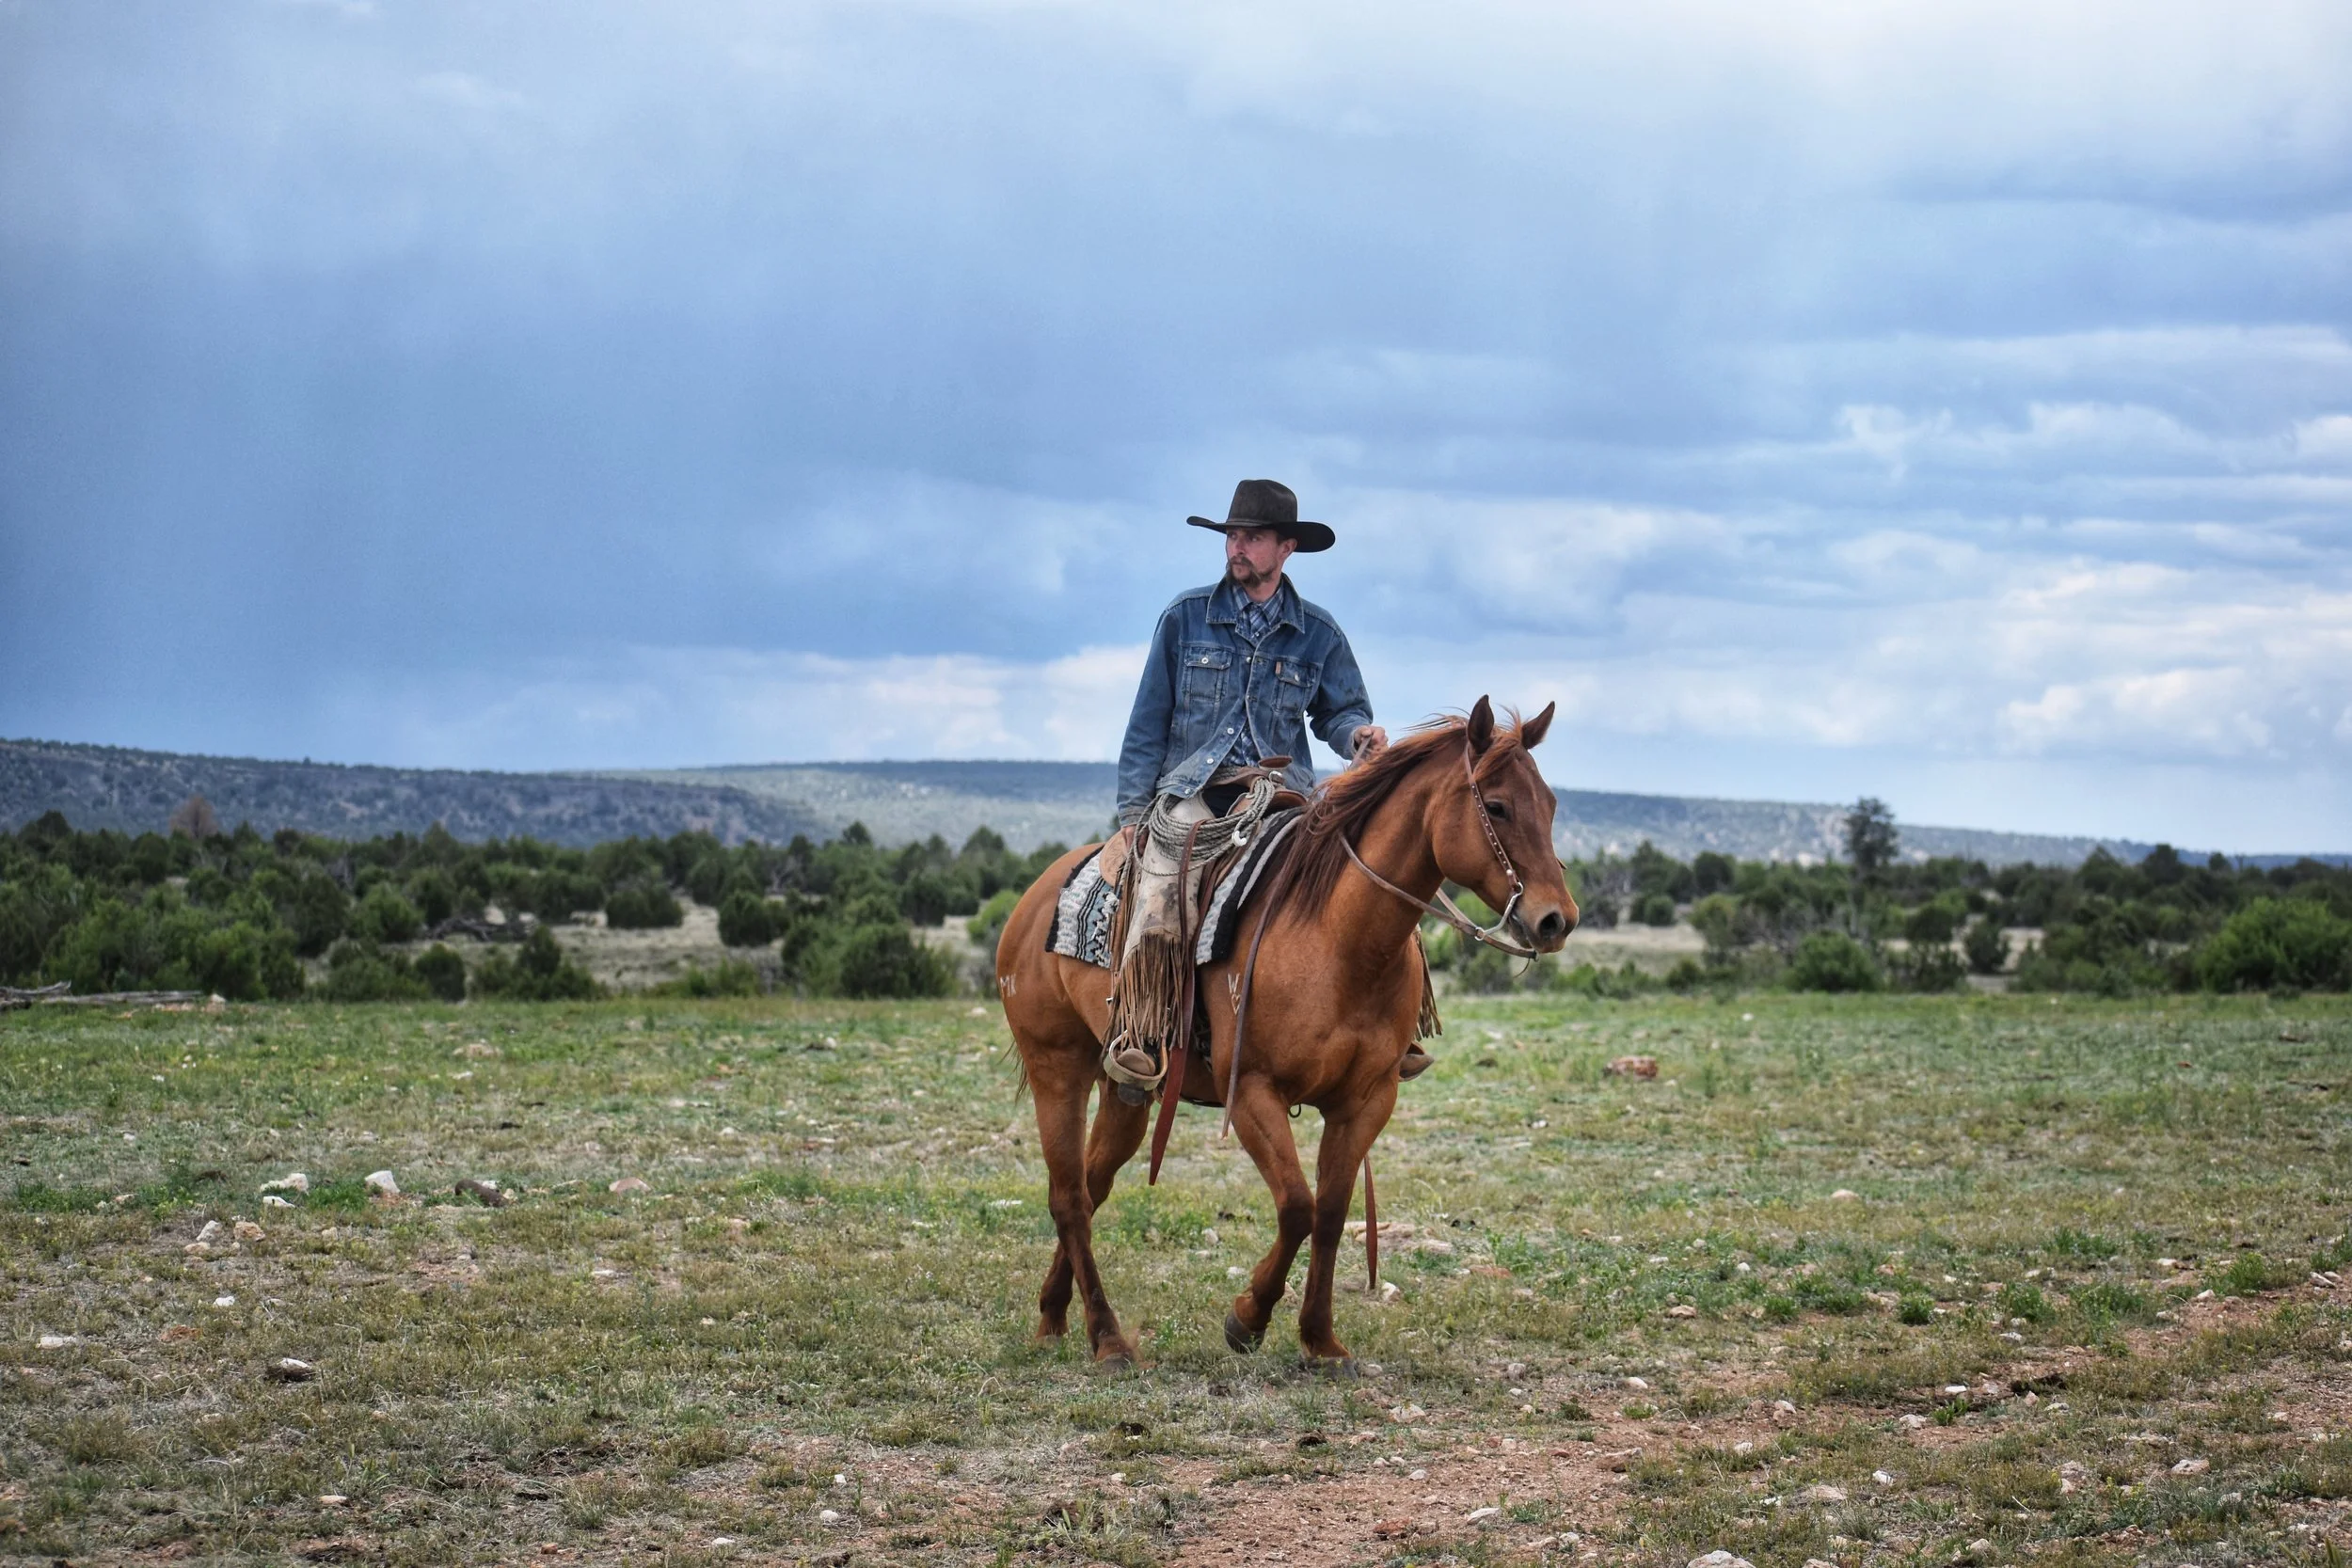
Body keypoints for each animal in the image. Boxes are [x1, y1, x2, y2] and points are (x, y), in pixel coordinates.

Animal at [994, 697, 1577, 1369]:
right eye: (1499, 805)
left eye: (1551, 806)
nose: (1557, 919)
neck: (1339, 940)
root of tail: (1033, 897)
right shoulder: (1252, 1091)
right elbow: (1297, 1207)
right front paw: (1247, 1318)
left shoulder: (1366, 1101)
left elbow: (1331, 1213)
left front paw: (1321, 1340)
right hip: (1057, 1067)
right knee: (1069, 1197)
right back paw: (1109, 1339)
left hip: (1126, 1090)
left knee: (1092, 1187)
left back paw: (1055, 1314)